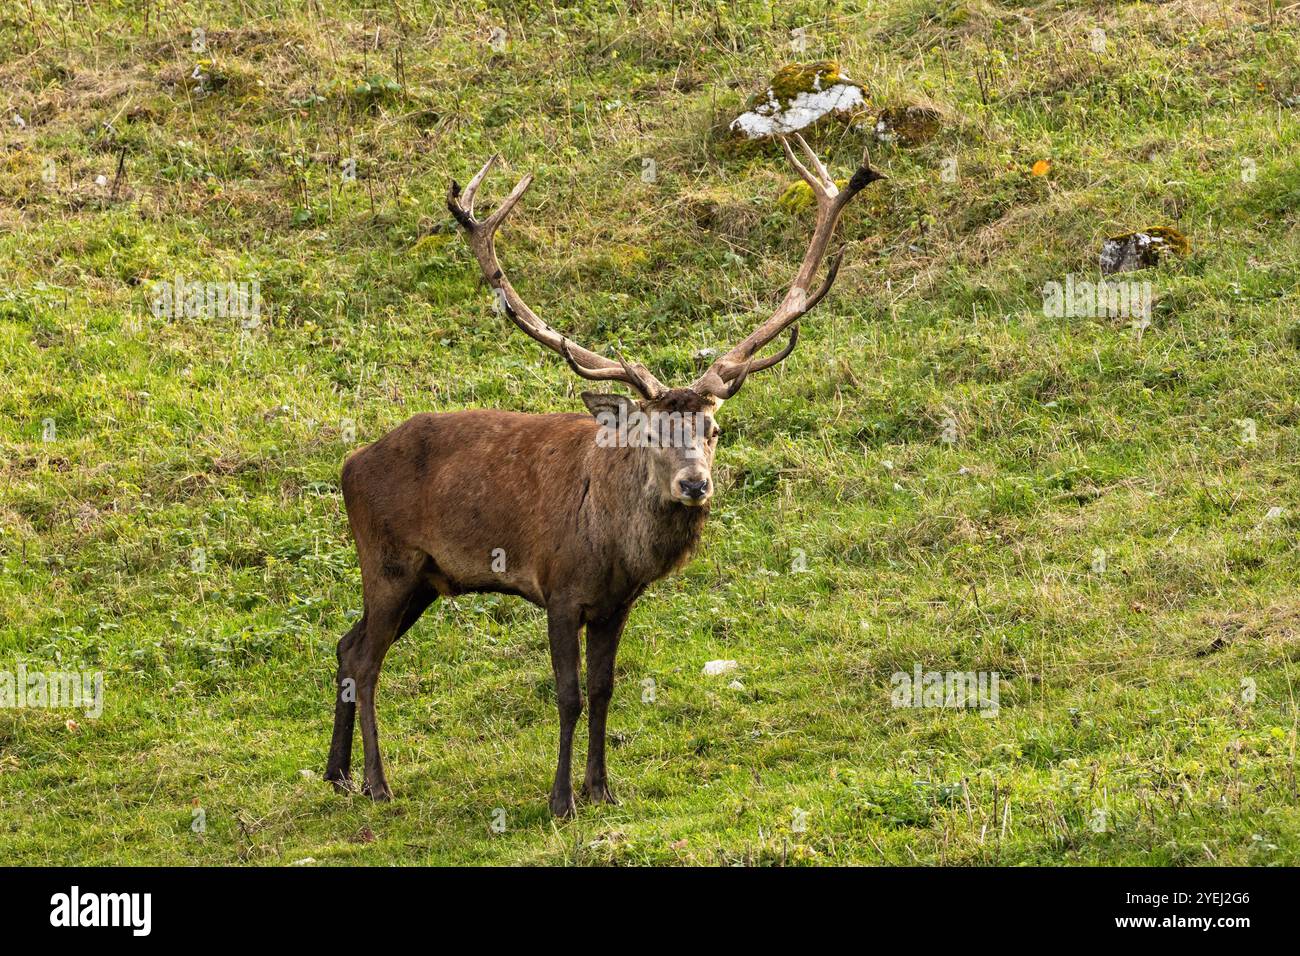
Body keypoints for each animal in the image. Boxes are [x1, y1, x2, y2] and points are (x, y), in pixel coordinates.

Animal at [324, 133, 882, 816]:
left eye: (713, 430)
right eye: (650, 433)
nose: (694, 484)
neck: (614, 547)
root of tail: (350, 464)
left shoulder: (617, 604)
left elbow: (604, 687)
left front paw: (602, 789)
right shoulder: (558, 590)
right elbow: (566, 694)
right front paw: (561, 798)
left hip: (425, 580)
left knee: (347, 645)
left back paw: (337, 773)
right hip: (388, 562)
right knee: (367, 660)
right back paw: (377, 782)